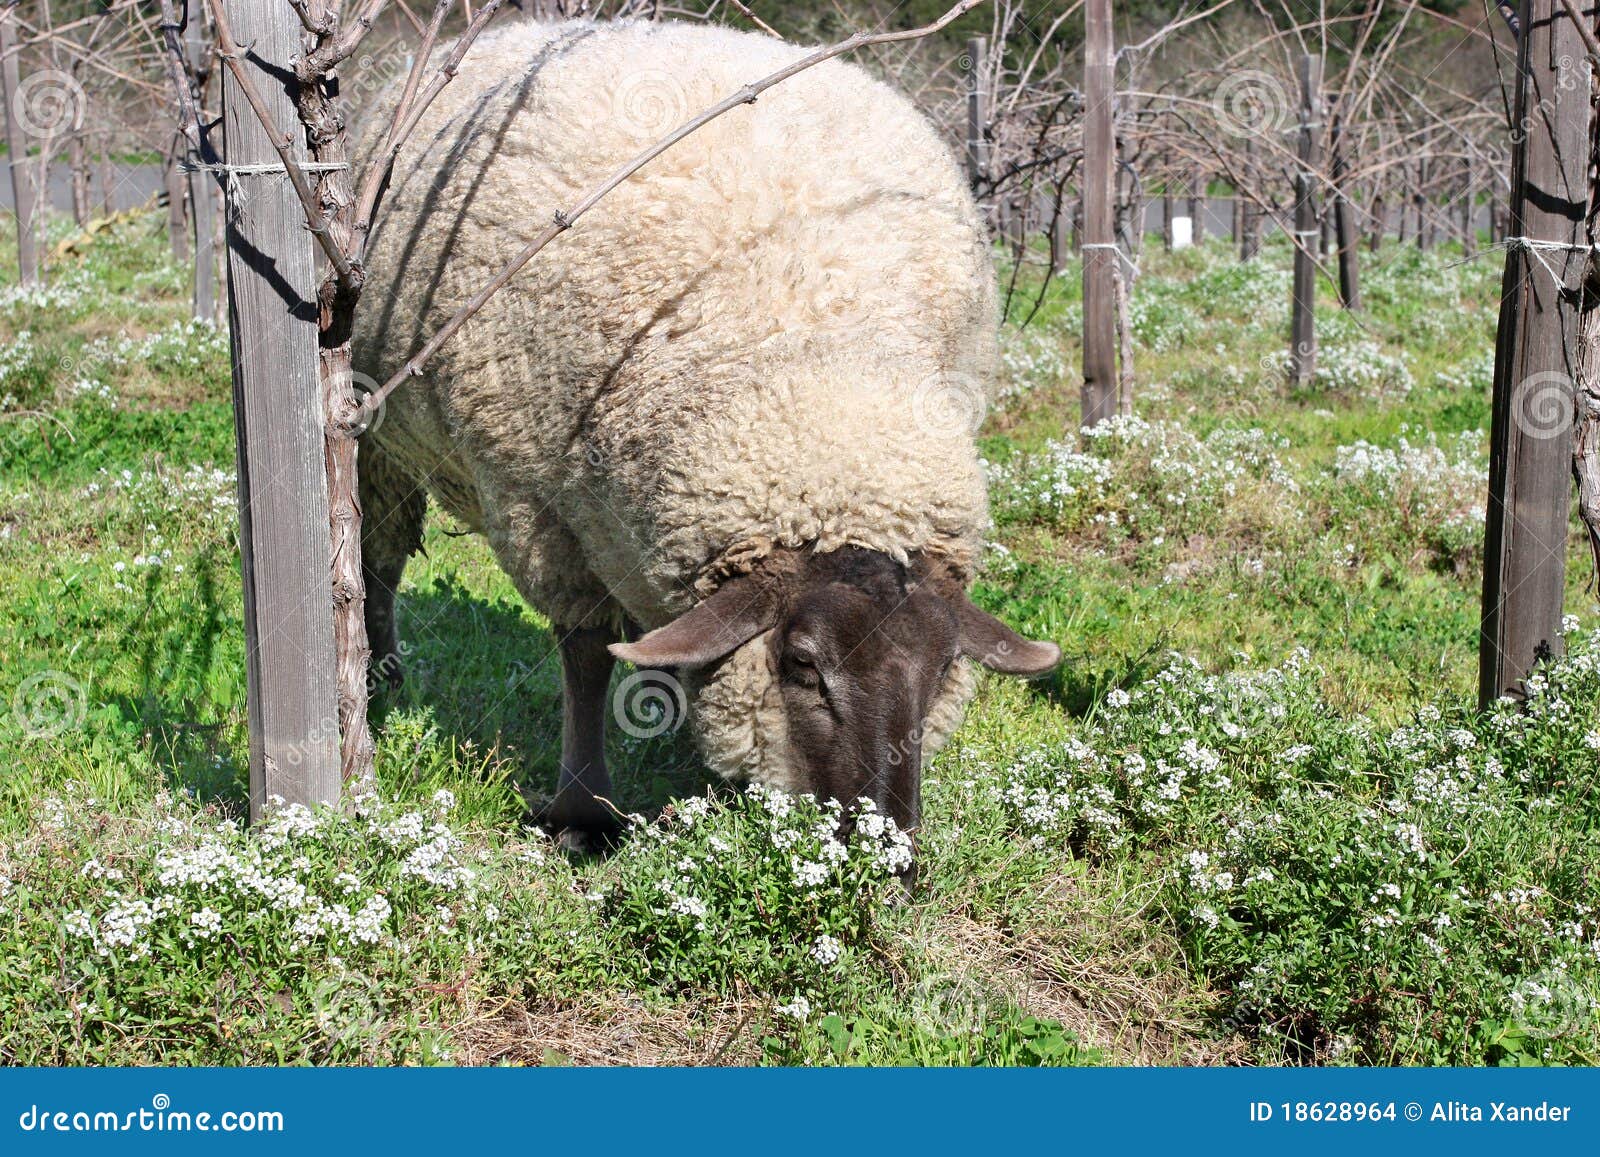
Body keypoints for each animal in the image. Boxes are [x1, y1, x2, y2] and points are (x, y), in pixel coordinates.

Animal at [351, 17, 1060, 850]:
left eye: (944, 668)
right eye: (803, 664)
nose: (889, 859)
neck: (814, 345)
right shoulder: (536, 505)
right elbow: (584, 654)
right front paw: (584, 810)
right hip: (372, 424)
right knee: (376, 559)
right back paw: (379, 678)